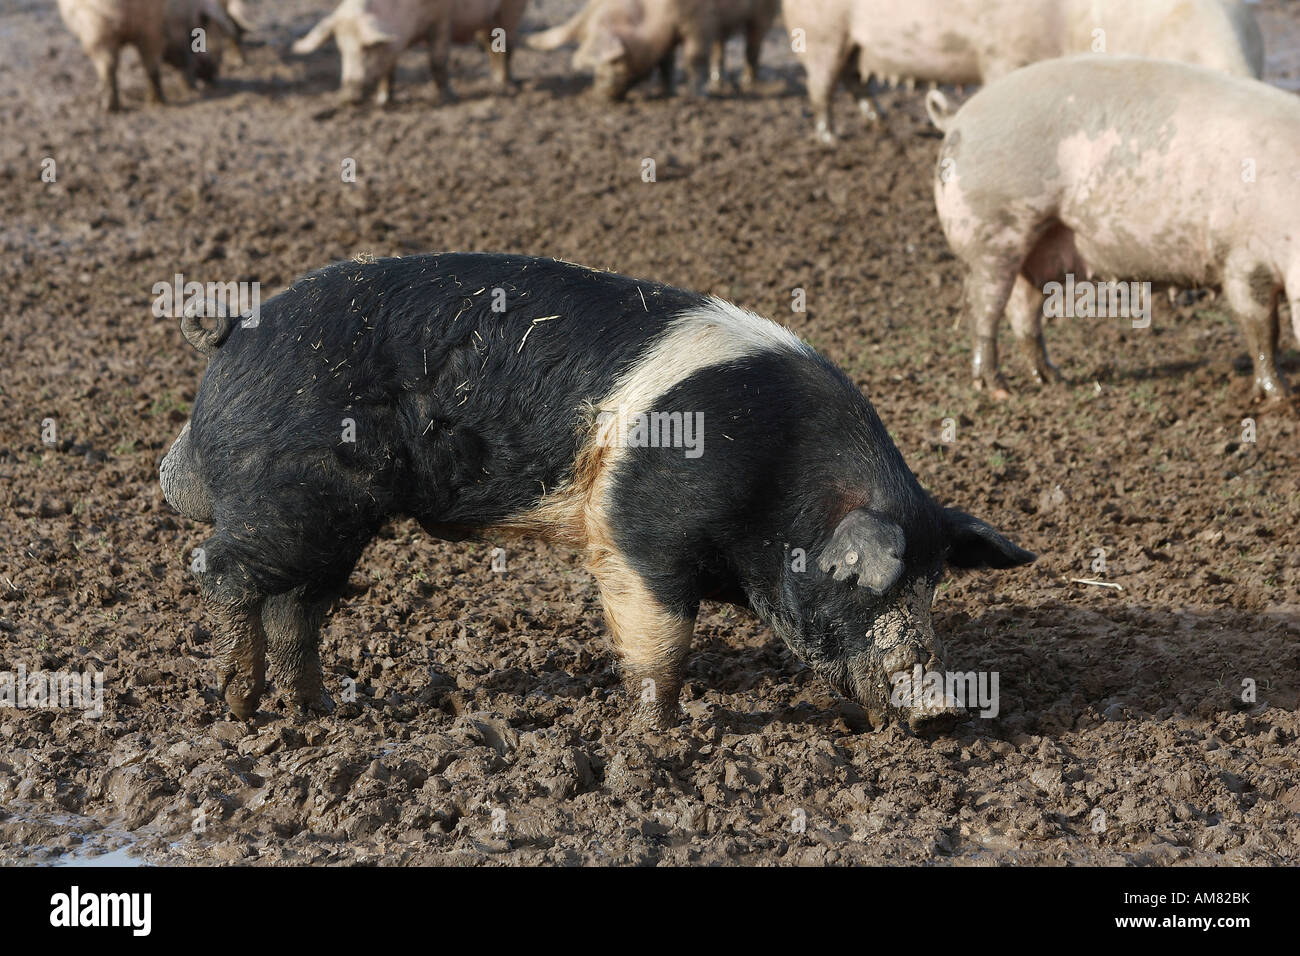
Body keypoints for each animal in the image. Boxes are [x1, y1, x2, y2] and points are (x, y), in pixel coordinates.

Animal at [160, 253, 1035, 733]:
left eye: (935, 585)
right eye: (866, 583)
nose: (942, 709)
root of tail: (234, 336)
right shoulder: (637, 534)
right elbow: (662, 644)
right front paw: (663, 736)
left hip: (333, 519)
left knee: (298, 605)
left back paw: (319, 712)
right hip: (287, 492)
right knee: (221, 571)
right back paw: (240, 708)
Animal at [291, 0, 529, 106]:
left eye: (366, 48)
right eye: (341, 50)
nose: (347, 95)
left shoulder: (442, 18)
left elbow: (437, 60)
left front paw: (447, 98)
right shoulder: (393, 43)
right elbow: (388, 70)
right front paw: (383, 100)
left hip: (512, 7)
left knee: (507, 45)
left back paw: (506, 85)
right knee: (490, 44)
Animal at [525, 0, 780, 100]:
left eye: (616, 59)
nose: (598, 93)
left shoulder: (700, 20)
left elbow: (695, 58)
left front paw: (696, 97)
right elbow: (666, 62)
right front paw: (667, 92)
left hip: (764, 11)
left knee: (753, 46)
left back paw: (748, 83)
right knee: (721, 46)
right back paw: (719, 84)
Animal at [781, 0, 1264, 142]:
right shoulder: (1003, 52)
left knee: (851, 78)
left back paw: (878, 123)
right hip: (820, 31)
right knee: (820, 85)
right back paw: (829, 138)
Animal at [931, 56, 1300, 402]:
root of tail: (958, 118)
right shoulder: (1241, 255)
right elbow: (1262, 328)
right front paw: (1280, 397)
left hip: (1036, 245)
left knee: (1023, 309)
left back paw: (1051, 378)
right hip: (991, 232)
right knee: (983, 306)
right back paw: (997, 388)